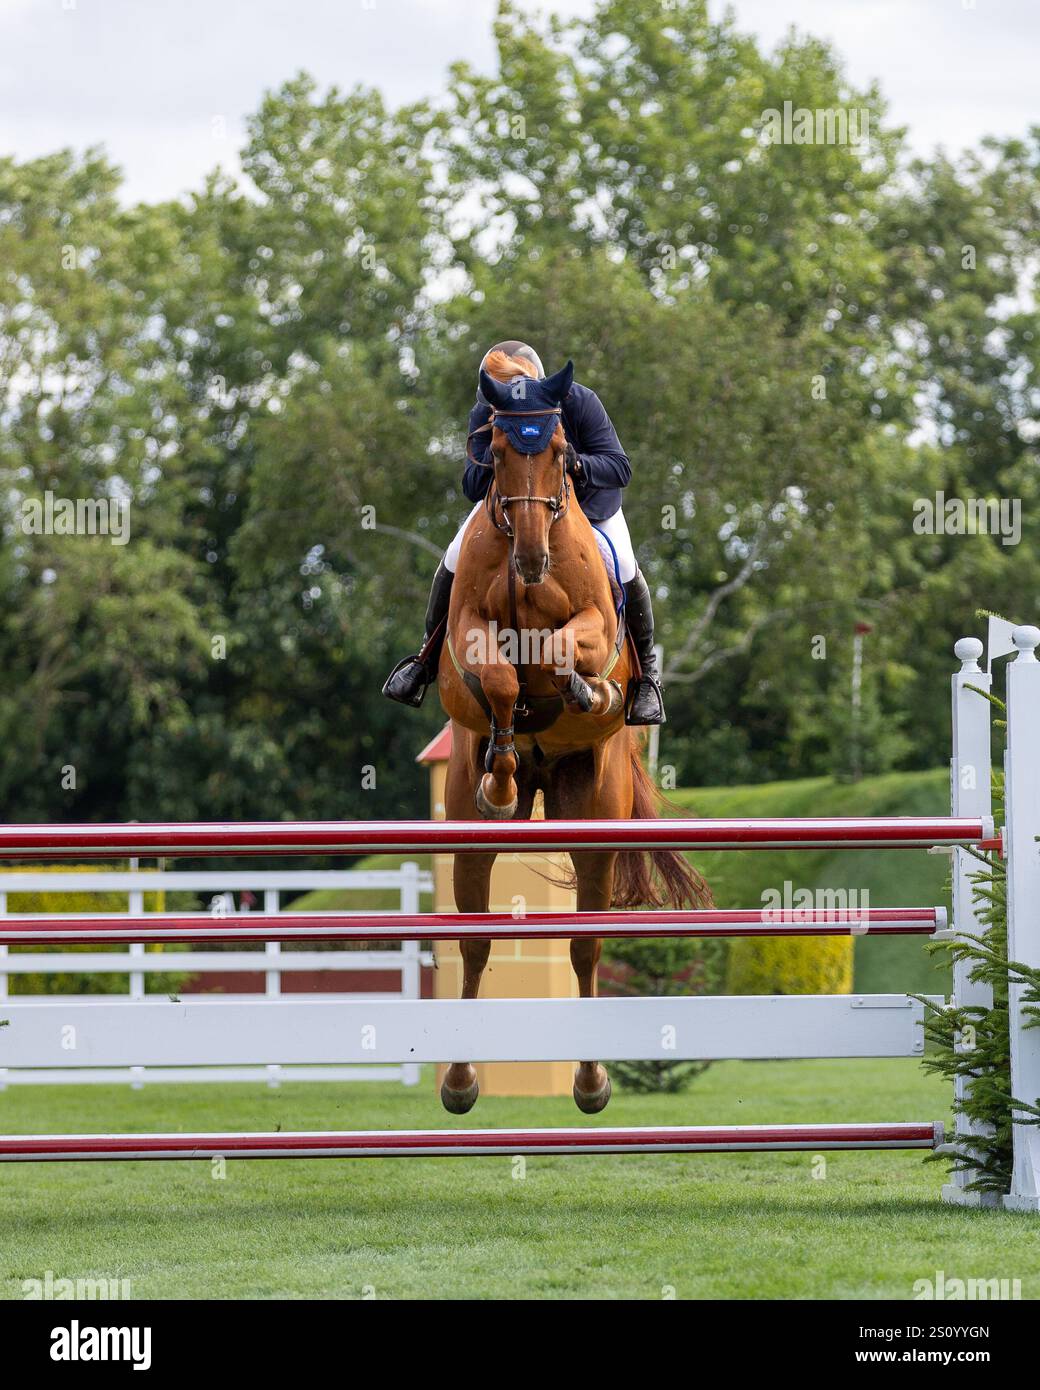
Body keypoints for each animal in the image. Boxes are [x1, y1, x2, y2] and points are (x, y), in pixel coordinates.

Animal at [433, 353, 712, 1115]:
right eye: (494, 450)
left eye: (562, 452)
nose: (530, 561)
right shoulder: (468, 633)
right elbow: (500, 681)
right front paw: (502, 776)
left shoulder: (591, 622)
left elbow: (564, 651)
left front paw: (591, 689)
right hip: (467, 830)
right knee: (474, 944)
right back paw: (460, 1082)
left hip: (595, 817)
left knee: (587, 944)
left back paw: (591, 1082)